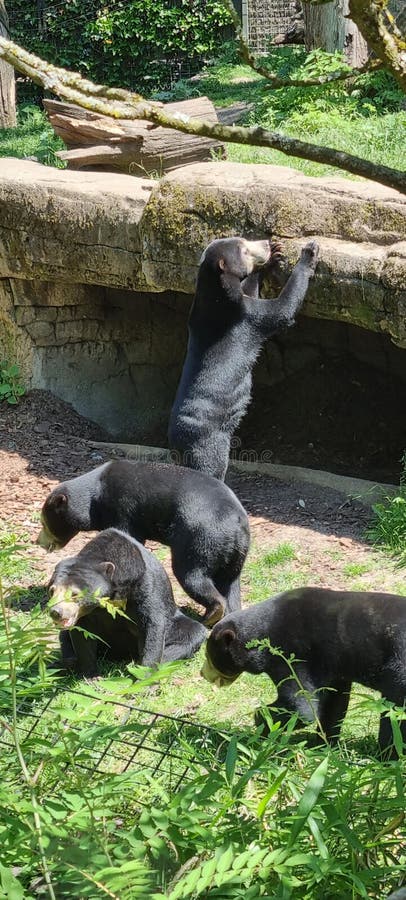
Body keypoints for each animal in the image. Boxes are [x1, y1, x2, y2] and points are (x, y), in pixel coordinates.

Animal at [37, 459, 250, 626]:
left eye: (44, 523)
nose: (39, 542)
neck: (96, 496)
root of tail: (237, 523)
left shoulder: (122, 506)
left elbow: (126, 534)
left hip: (201, 538)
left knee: (191, 575)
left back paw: (211, 615)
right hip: (235, 554)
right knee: (230, 584)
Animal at [48, 528, 208, 677]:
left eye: (74, 594)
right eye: (52, 591)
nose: (56, 612)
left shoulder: (144, 585)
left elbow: (152, 625)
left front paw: (145, 677)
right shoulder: (86, 614)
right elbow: (83, 634)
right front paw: (90, 675)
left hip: (175, 624)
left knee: (191, 633)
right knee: (64, 637)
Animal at [168, 236, 319, 481]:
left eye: (245, 241)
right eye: (244, 250)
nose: (266, 242)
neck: (215, 294)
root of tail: (175, 443)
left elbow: (250, 289)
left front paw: (274, 255)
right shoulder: (244, 316)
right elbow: (280, 310)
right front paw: (309, 252)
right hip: (209, 442)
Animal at [201, 587, 406, 757]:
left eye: (209, 656)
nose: (202, 674)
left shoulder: (293, 653)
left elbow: (301, 705)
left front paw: (263, 720)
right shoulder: (335, 666)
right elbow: (333, 704)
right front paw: (323, 746)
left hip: (398, 668)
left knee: (393, 715)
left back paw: (386, 755)